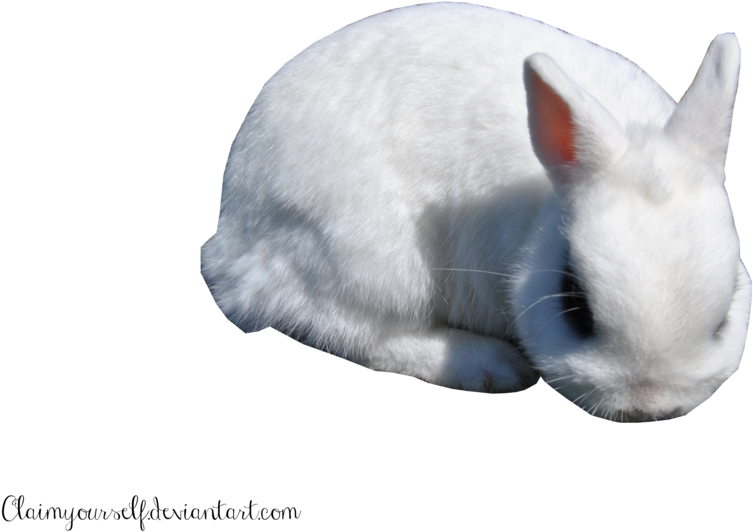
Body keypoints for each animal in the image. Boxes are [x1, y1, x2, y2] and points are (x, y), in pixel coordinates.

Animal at [200, 2, 750, 422]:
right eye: (574, 305)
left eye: (724, 316)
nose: (647, 405)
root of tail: (230, 237)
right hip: (365, 259)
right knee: (342, 327)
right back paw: (488, 366)